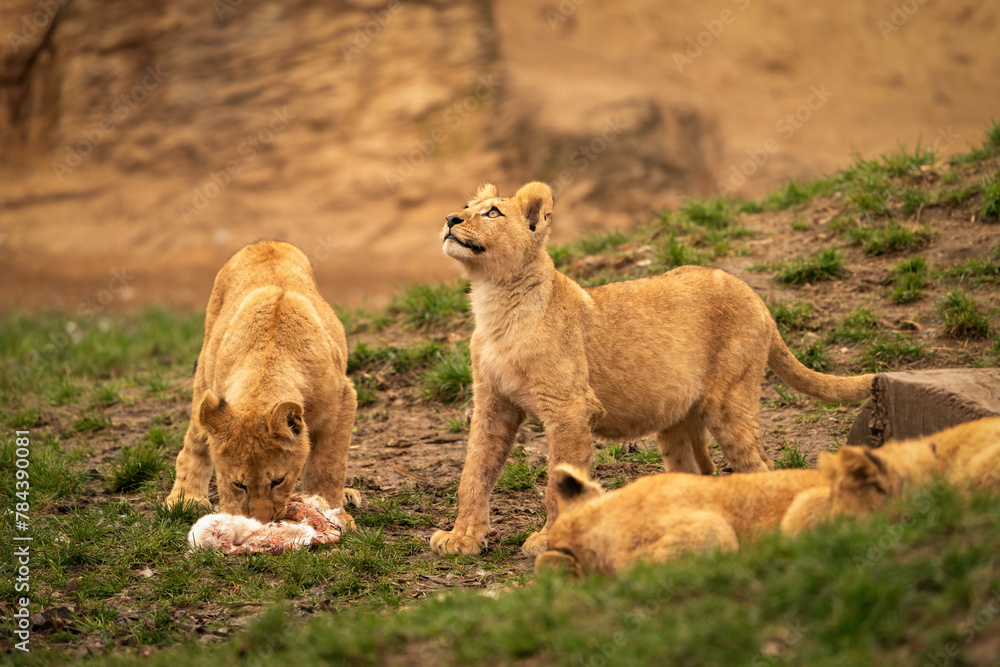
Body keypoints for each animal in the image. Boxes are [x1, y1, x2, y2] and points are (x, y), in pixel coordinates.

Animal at [164, 240, 359, 527]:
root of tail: (267, 242)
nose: (262, 522)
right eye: (240, 484)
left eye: (278, 481)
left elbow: (329, 463)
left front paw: (330, 509)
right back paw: (184, 498)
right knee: (194, 441)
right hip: (204, 382)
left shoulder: (343, 400)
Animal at [430, 181, 873, 557]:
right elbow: (474, 471)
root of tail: (755, 295)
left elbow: (558, 478)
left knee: (759, 466)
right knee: (699, 470)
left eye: (492, 213)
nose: (450, 219)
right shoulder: (493, 405)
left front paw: (548, 538)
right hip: (677, 419)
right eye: (466, 207)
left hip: (730, 401)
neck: (495, 303)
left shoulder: (570, 408)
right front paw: (461, 537)